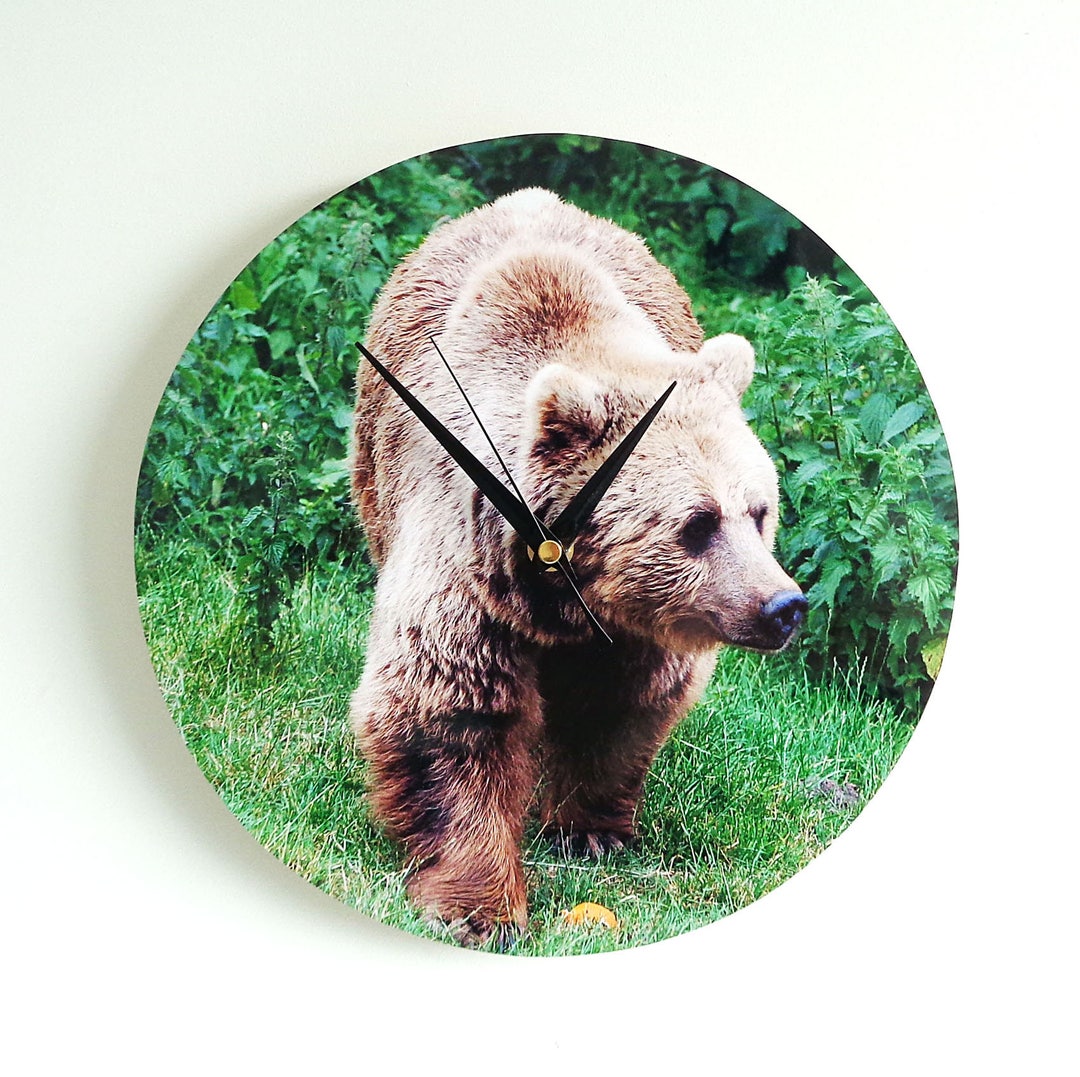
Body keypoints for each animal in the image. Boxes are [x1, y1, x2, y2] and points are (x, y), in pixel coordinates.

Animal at [350, 188, 805, 945]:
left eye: (759, 510)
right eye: (698, 522)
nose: (783, 605)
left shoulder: (643, 623)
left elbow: (616, 702)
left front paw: (590, 829)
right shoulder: (465, 562)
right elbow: (451, 705)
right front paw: (482, 904)